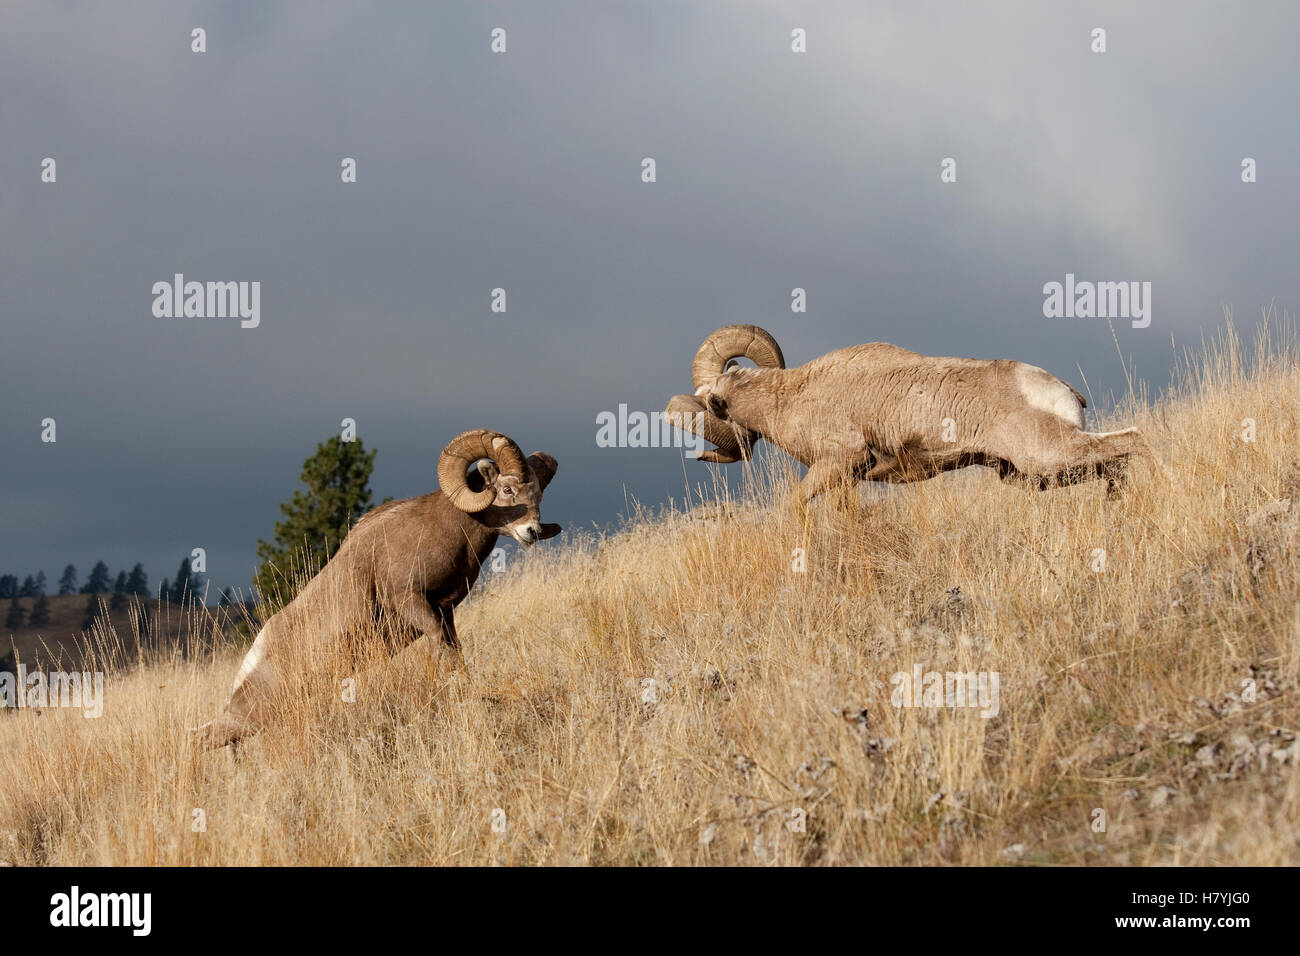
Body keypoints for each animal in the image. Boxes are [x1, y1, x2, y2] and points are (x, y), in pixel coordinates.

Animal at [194, 429, 560, 748]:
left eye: (539, 495)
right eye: (508, 490)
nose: (531, 532)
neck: (442, 528)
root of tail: (252, 661)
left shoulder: (445, 610)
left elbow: (454, 652)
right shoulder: (411, 601)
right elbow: (441, 649)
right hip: (255, 714)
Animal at [667, 324, 1146, 502]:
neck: (791, 397)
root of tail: (1062, 390)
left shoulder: (836, 464)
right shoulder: (847, 479)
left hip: (1045, 458)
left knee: (1134, 442)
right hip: (1031, 474)